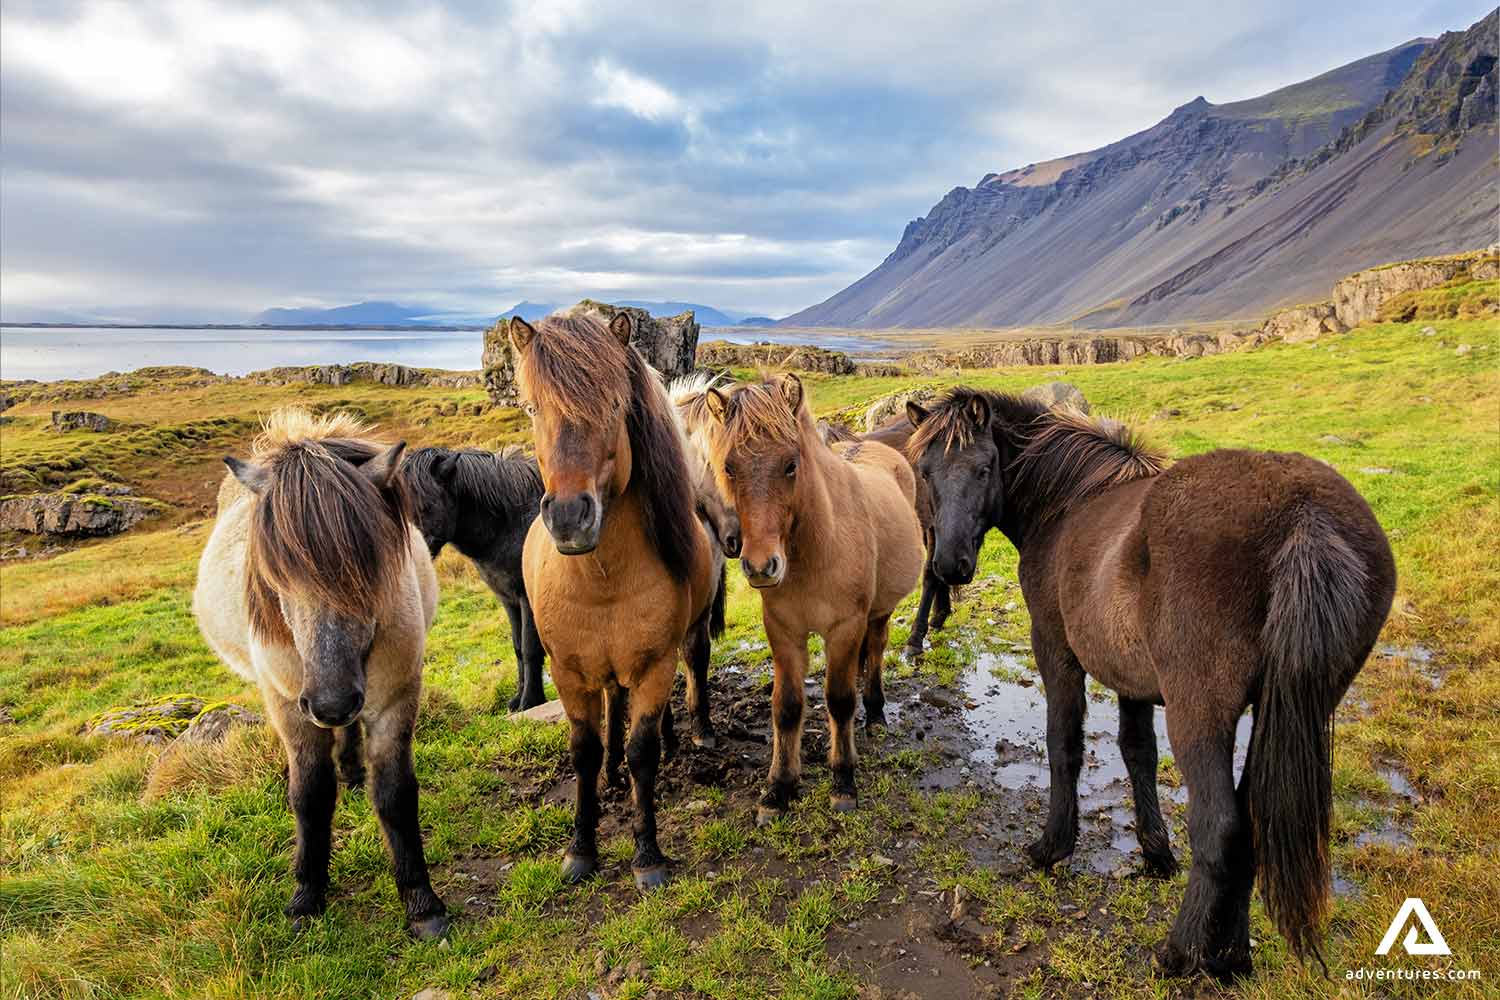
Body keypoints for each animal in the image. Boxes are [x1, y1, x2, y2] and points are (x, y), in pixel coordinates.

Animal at [192, 408, 448, 939]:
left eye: (368, 569)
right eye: (275, 576)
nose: (331, 702)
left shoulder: (395, 696)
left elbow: (395, 794)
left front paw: (421, 901)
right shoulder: (290, 704)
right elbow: (309, 795)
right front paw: (306, 897)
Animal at [403, 445, 548, 710]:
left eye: (426, 506)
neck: (510, 524)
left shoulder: (527, 597)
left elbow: (530, 648)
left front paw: (531, 701)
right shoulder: (508, 599)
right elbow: (518, 647)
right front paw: (517, 700)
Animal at [508, 311, 721, 890]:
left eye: (613, 406)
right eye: (532, 408)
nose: (568, 516)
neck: (601, 582)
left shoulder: (653, 666)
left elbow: (642, 750)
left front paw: (648, 854)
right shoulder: (569, 671)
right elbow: (583, 751)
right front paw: (581, 848)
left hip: (686, 637)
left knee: (689, 671)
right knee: (613, 705)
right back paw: (611, 775)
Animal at [705, 375, 924, 823]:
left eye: (791, 464)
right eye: (730, 467)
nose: (760, 566)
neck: (818, 547)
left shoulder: (844, 628)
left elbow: (839, 700)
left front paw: (843, 781)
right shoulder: (784, 630)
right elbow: (786, 706)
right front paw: (779, 788)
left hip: (879, 612)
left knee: (876, 650)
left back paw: (875, 713)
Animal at [904, 388, 1395, 978]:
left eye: (983, 467)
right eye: (925, 471)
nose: (950, 565)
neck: (1068, 503)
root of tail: (1303, 516)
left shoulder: (1056, 652)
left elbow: (1063, 745)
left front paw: (1052, 846)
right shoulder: (1132, 682)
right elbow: (1137, 751)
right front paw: (1155, 853)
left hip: (1199, 715)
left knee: (1221, 829)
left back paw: (1180, 952)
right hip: (1287, 710)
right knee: (1251, 822)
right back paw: (1230, 956)